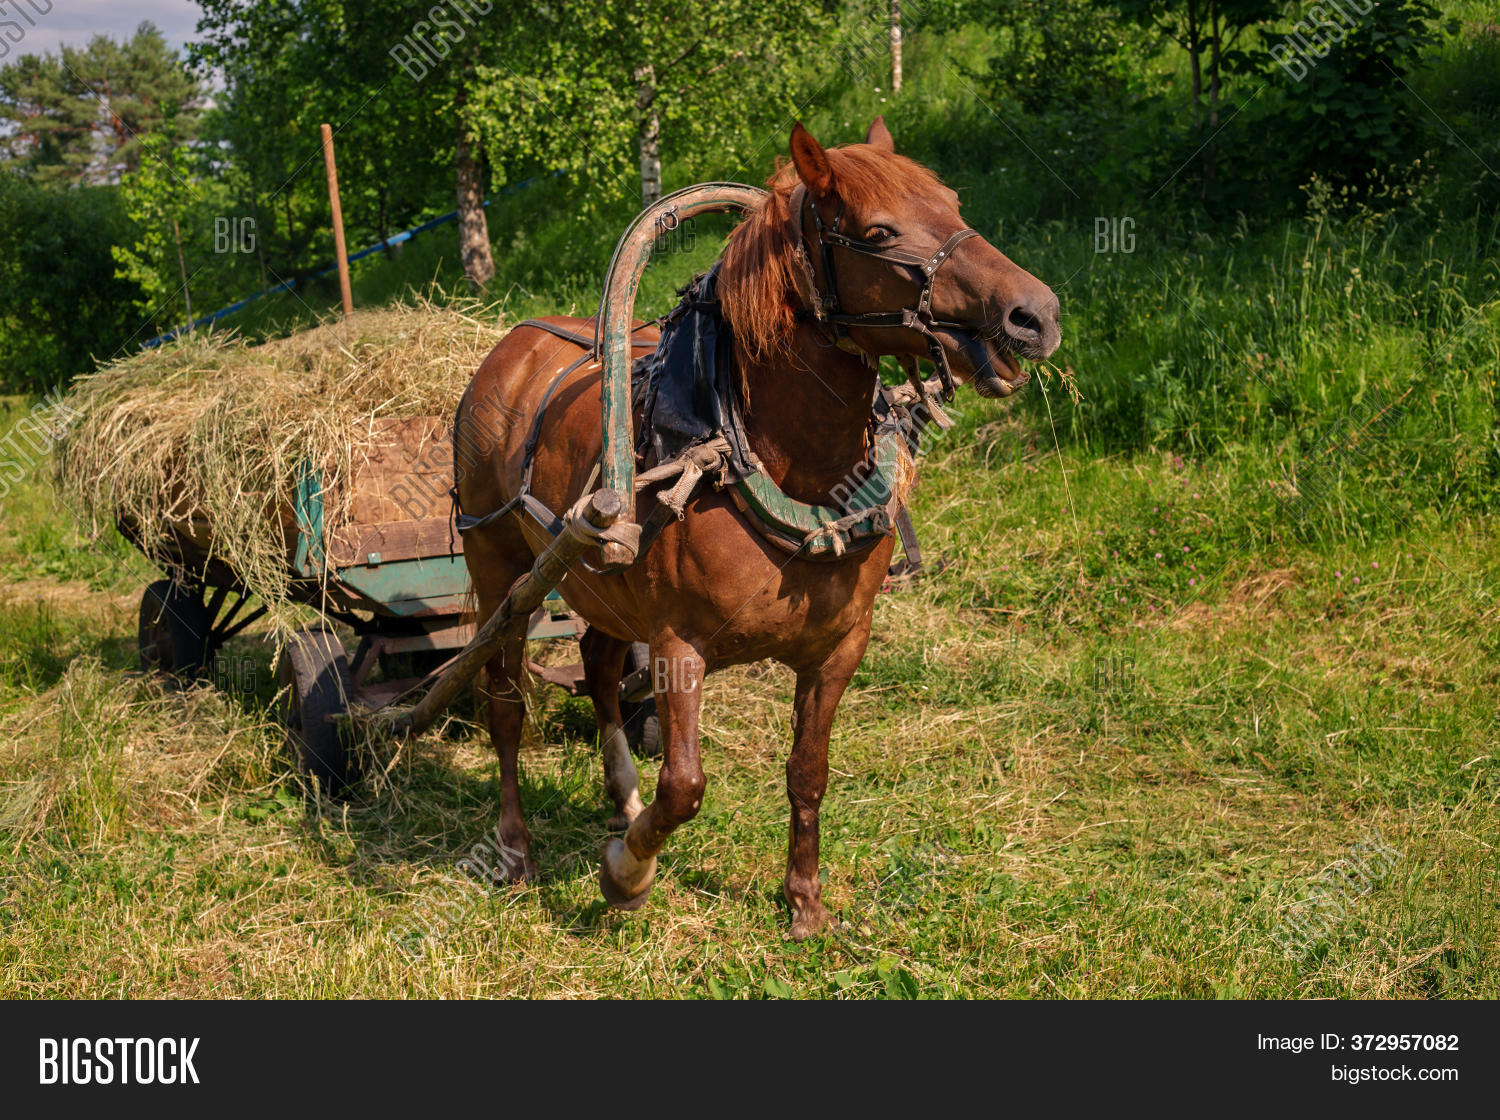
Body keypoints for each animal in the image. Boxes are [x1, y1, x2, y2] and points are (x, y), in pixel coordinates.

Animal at [453, 118, 1060, 939]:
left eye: (954, 204)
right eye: (878, 231)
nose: (1036, 314)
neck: (770, 456)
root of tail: (510, 347)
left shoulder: (838, 646)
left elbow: (808, 772)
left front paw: (803, 902)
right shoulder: (678, 648)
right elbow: (685, 785)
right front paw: (626, 875)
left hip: (599, 580)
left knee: (601, 669)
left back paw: (620, 799)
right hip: (498, 570)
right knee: (505, 706)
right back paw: (516, 849)